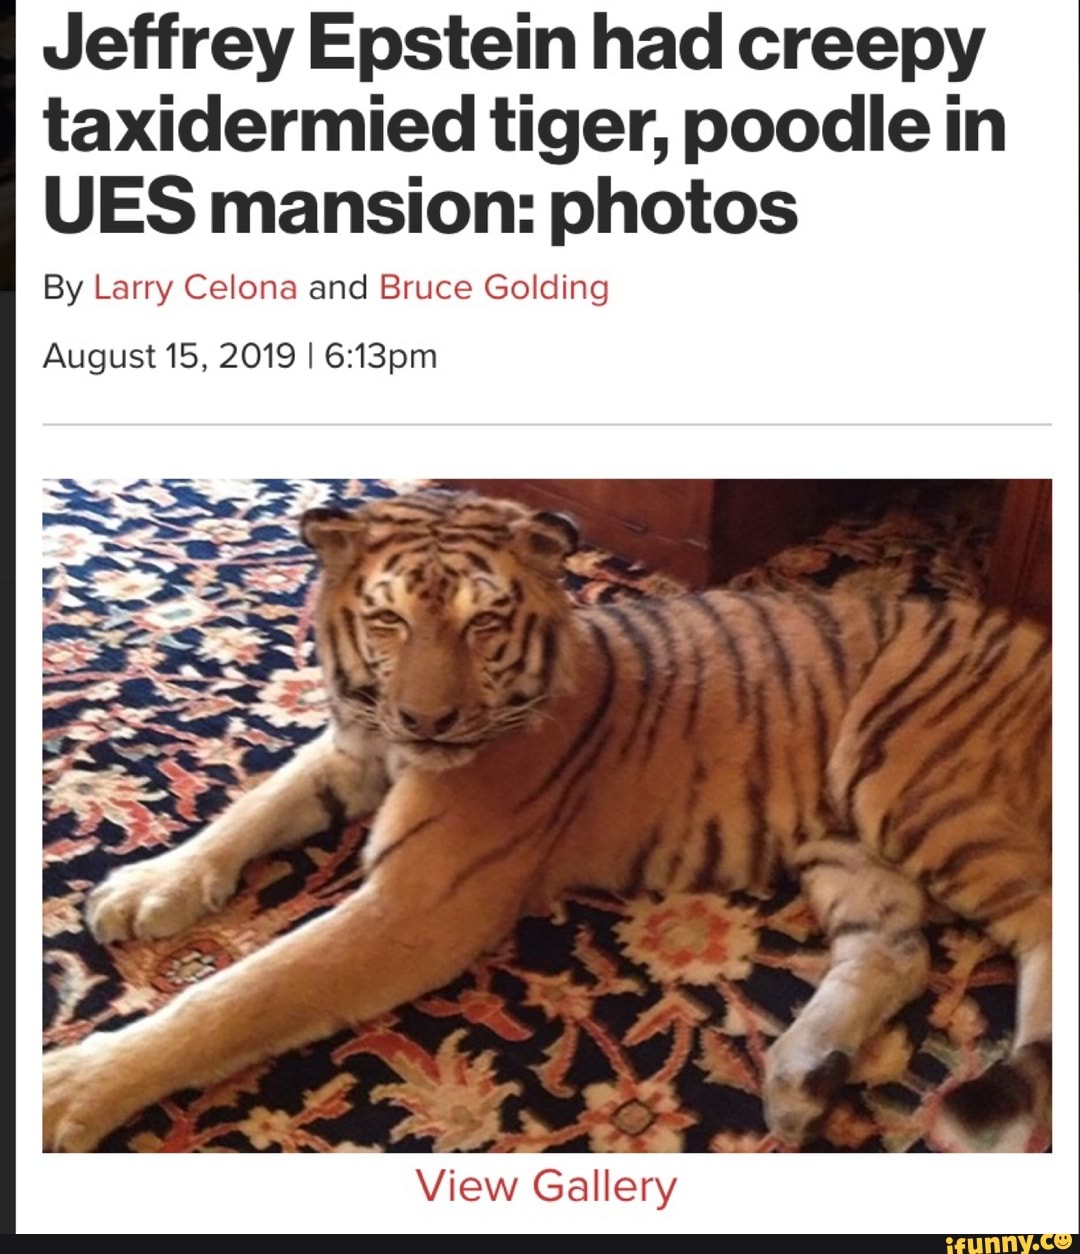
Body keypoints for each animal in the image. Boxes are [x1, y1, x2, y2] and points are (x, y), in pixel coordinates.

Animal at [43, 489, 1052, 1153]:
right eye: (388, 623)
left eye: (484, 626)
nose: (427, 722)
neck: (397, 747)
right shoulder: (351, 750)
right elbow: (249, 808)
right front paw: (144, 887)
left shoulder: (416, 905)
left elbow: (237, 995)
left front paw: (72, 1089)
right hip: (847, 839)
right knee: (898, 946)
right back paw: (805, 1076)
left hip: (910, 778)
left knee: (1040, 918)